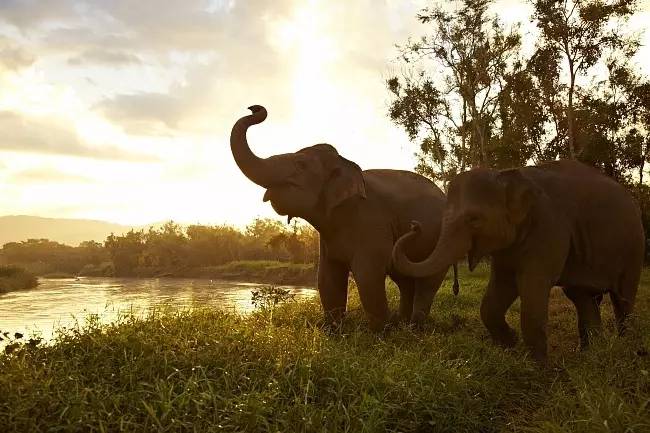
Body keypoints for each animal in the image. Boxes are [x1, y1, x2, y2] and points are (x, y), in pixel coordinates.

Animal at [390, 159, 644, 362]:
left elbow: (532, 287)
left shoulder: (548, 226)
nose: (415, 225)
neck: (505, 175)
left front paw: (536, 369)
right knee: (583, 298)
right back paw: (590, 356)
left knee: (623, 298)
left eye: (473, 219)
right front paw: (511, 345)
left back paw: (628, 353)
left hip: (634, 248)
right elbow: (497, 292)